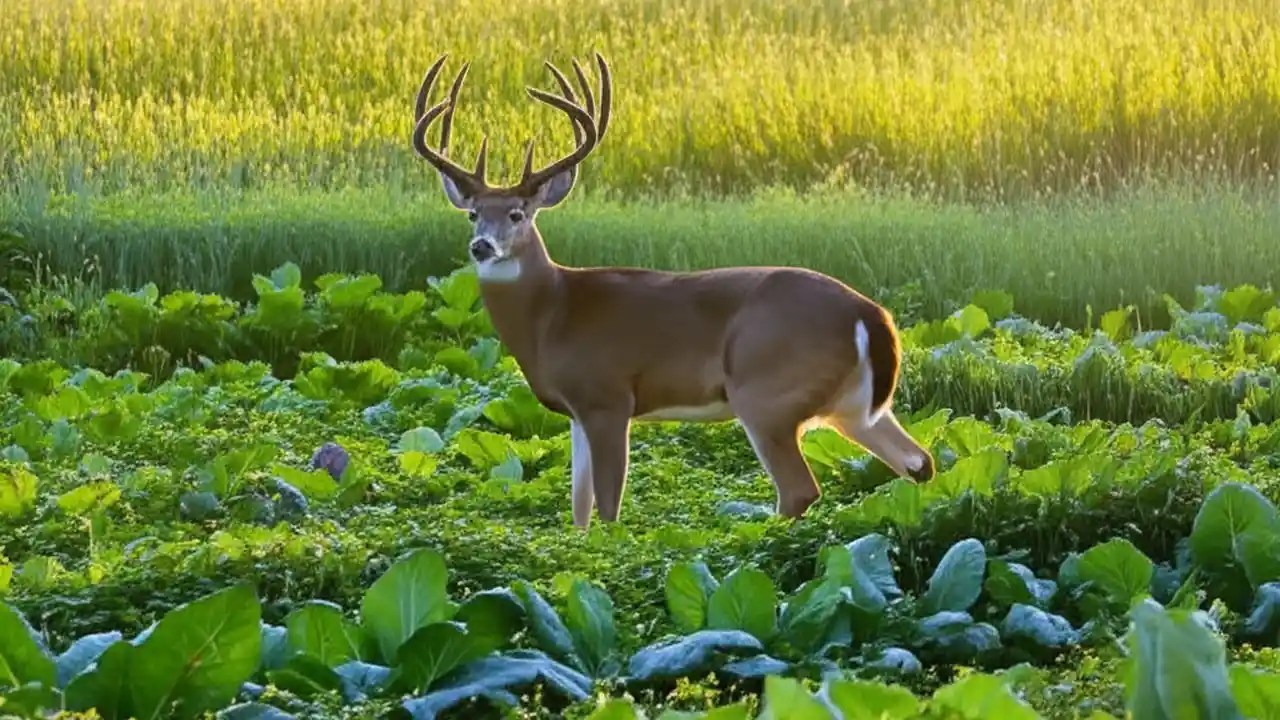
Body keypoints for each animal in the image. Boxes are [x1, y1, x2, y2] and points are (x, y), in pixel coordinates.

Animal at [410, 53, 936, 528]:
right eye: (473, 213)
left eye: (518, 213)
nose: (482, 246)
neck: (554, 315)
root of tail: (870, 314)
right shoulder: (575, 411)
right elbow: (578, 512)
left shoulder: (608, 396)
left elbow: (608, 508)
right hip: (856, 408)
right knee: (919, 462)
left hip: (768, 393)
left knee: (799, 490)